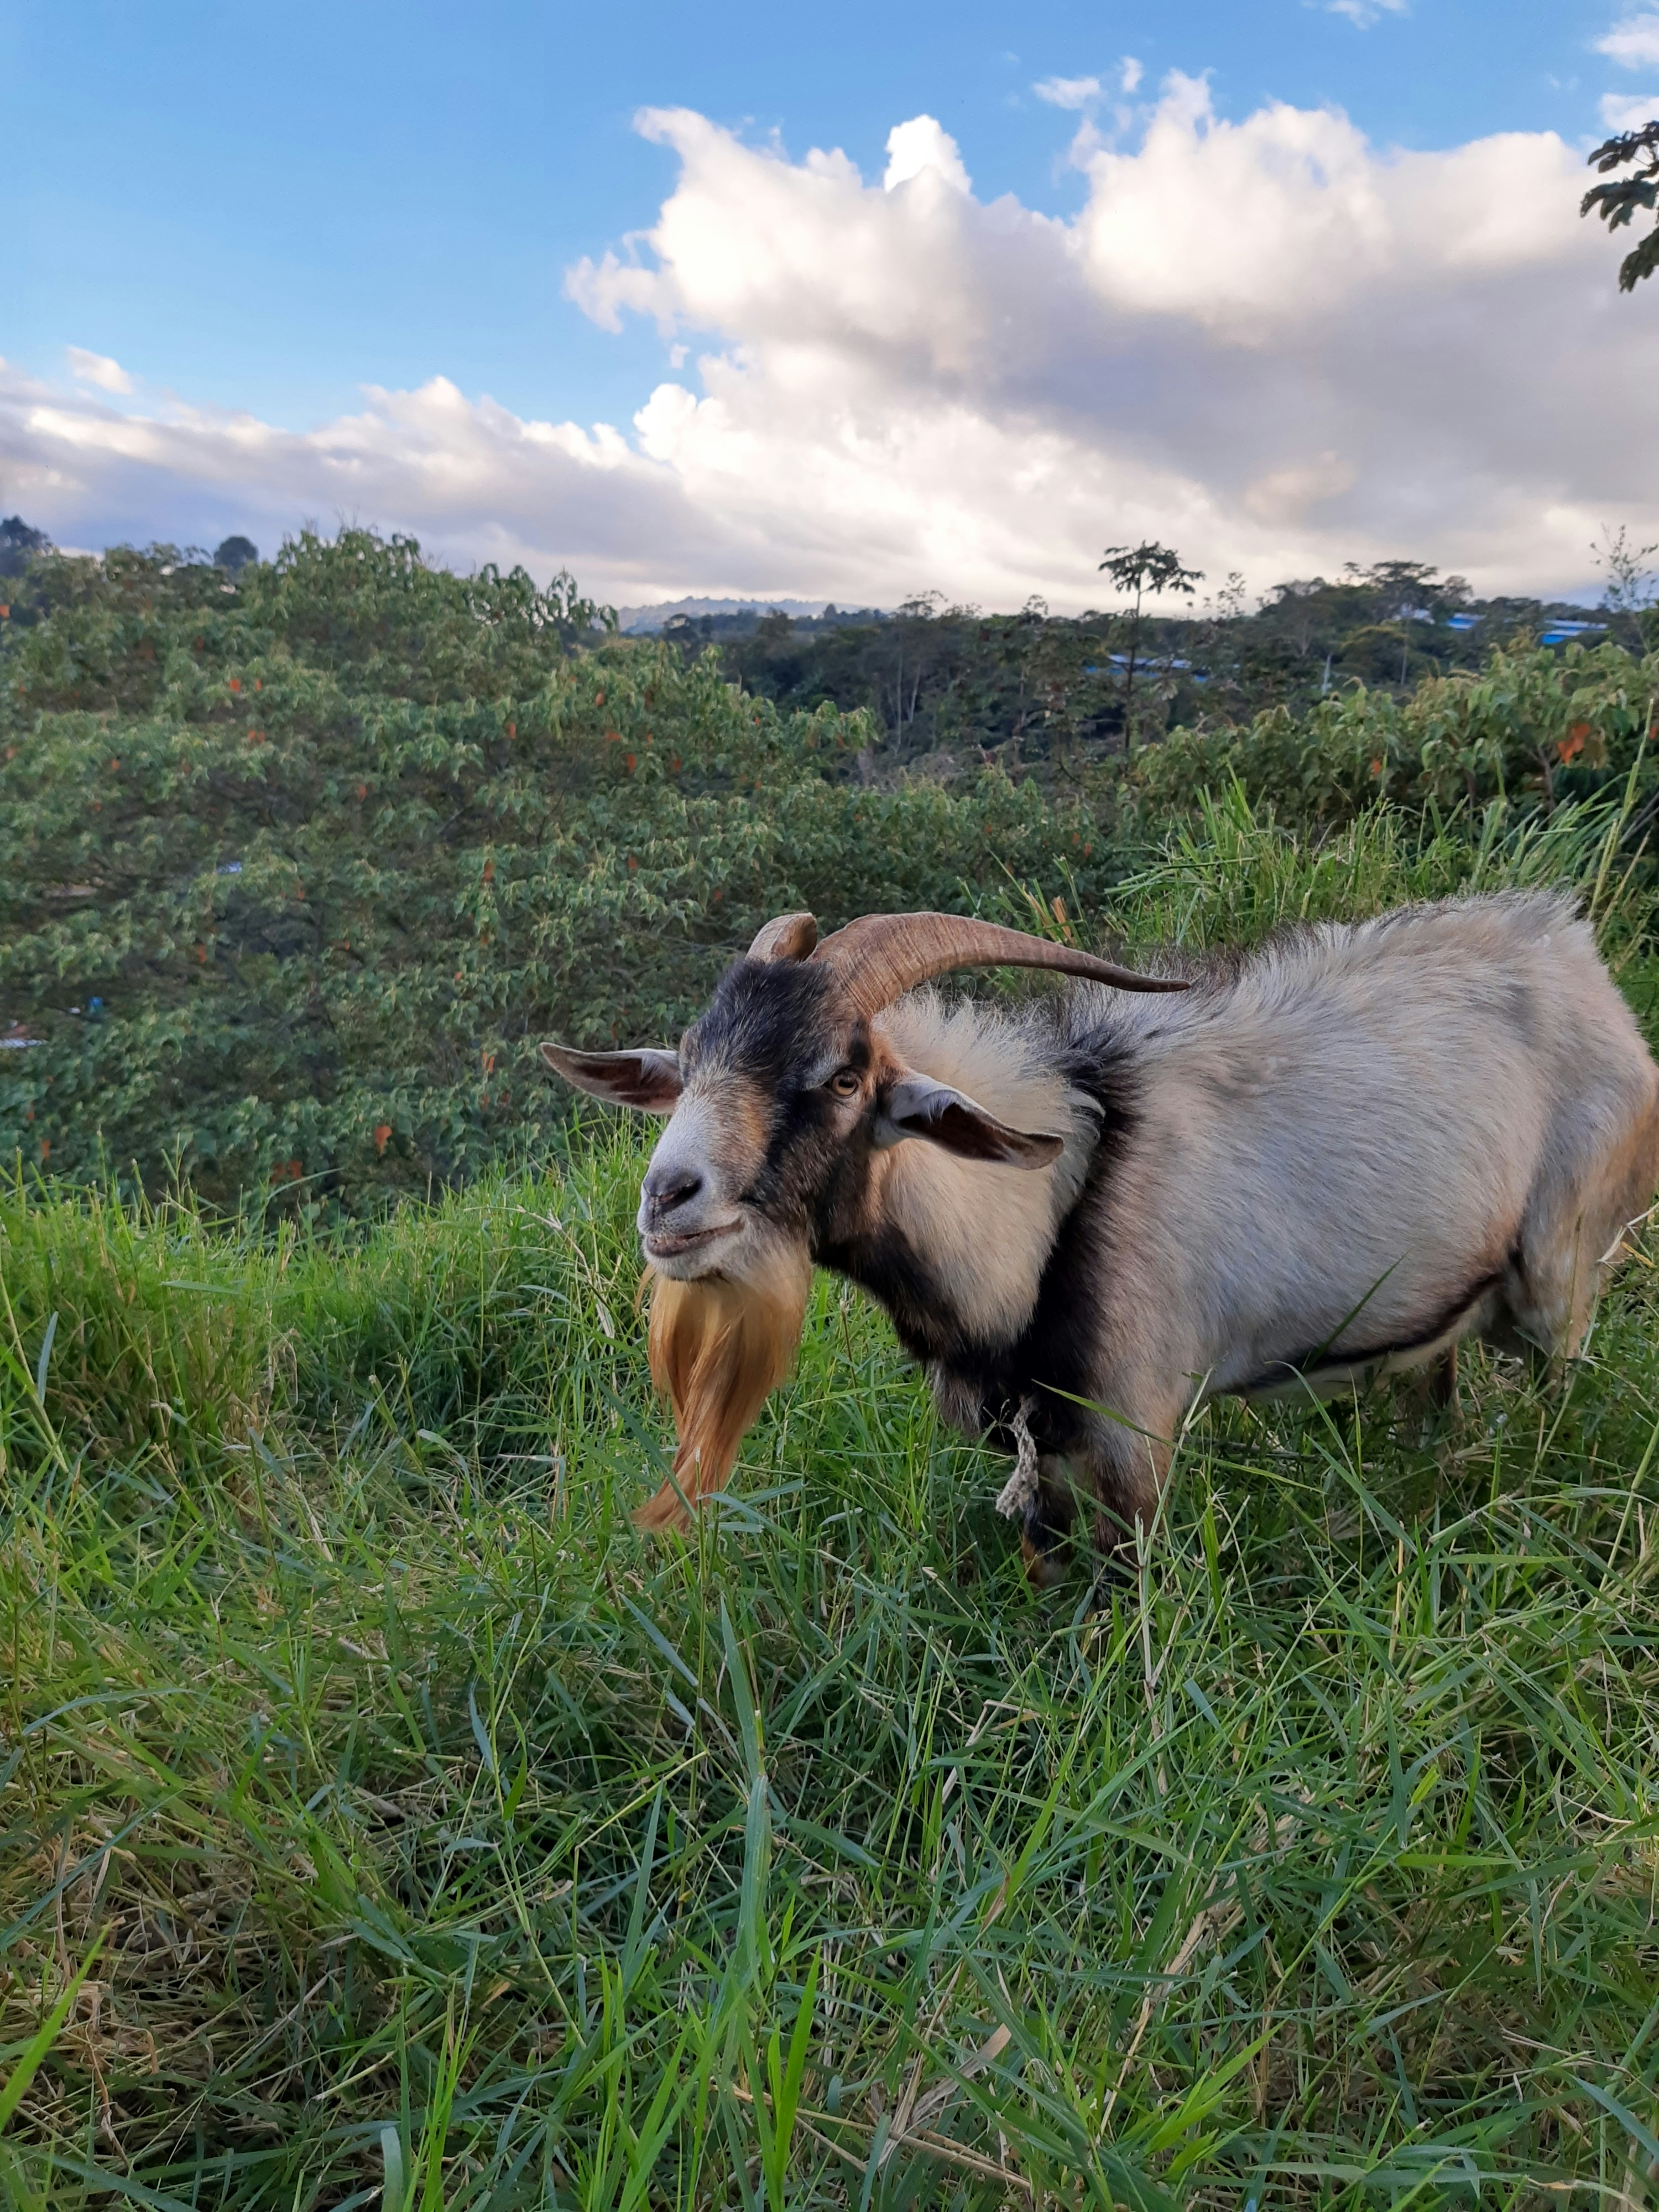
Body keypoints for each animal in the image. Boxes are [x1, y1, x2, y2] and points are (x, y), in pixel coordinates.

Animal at [542, 896, 1659, 1578]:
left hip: (1563, 1278)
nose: (669, 1200)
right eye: (689, 1059)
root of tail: (1578, 956)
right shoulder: (1039, 1459)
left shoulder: (1137, 1439)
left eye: (846, 1077)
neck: (1046, 1215)